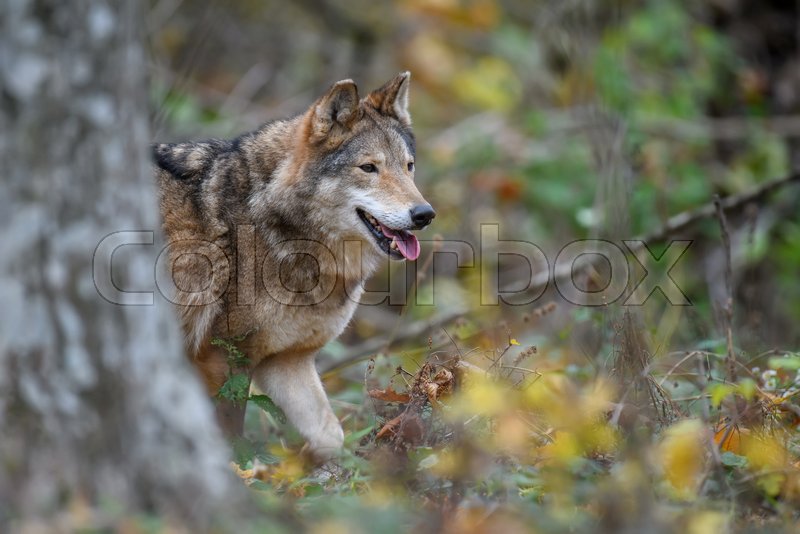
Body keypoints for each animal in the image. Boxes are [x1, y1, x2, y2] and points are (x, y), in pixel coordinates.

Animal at [153, 72, 434, 462]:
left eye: (408, 166)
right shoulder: (223, 359)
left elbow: (331, 435)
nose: (424, 214)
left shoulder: (287, 361)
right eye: (368, 168)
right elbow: (230, 439)